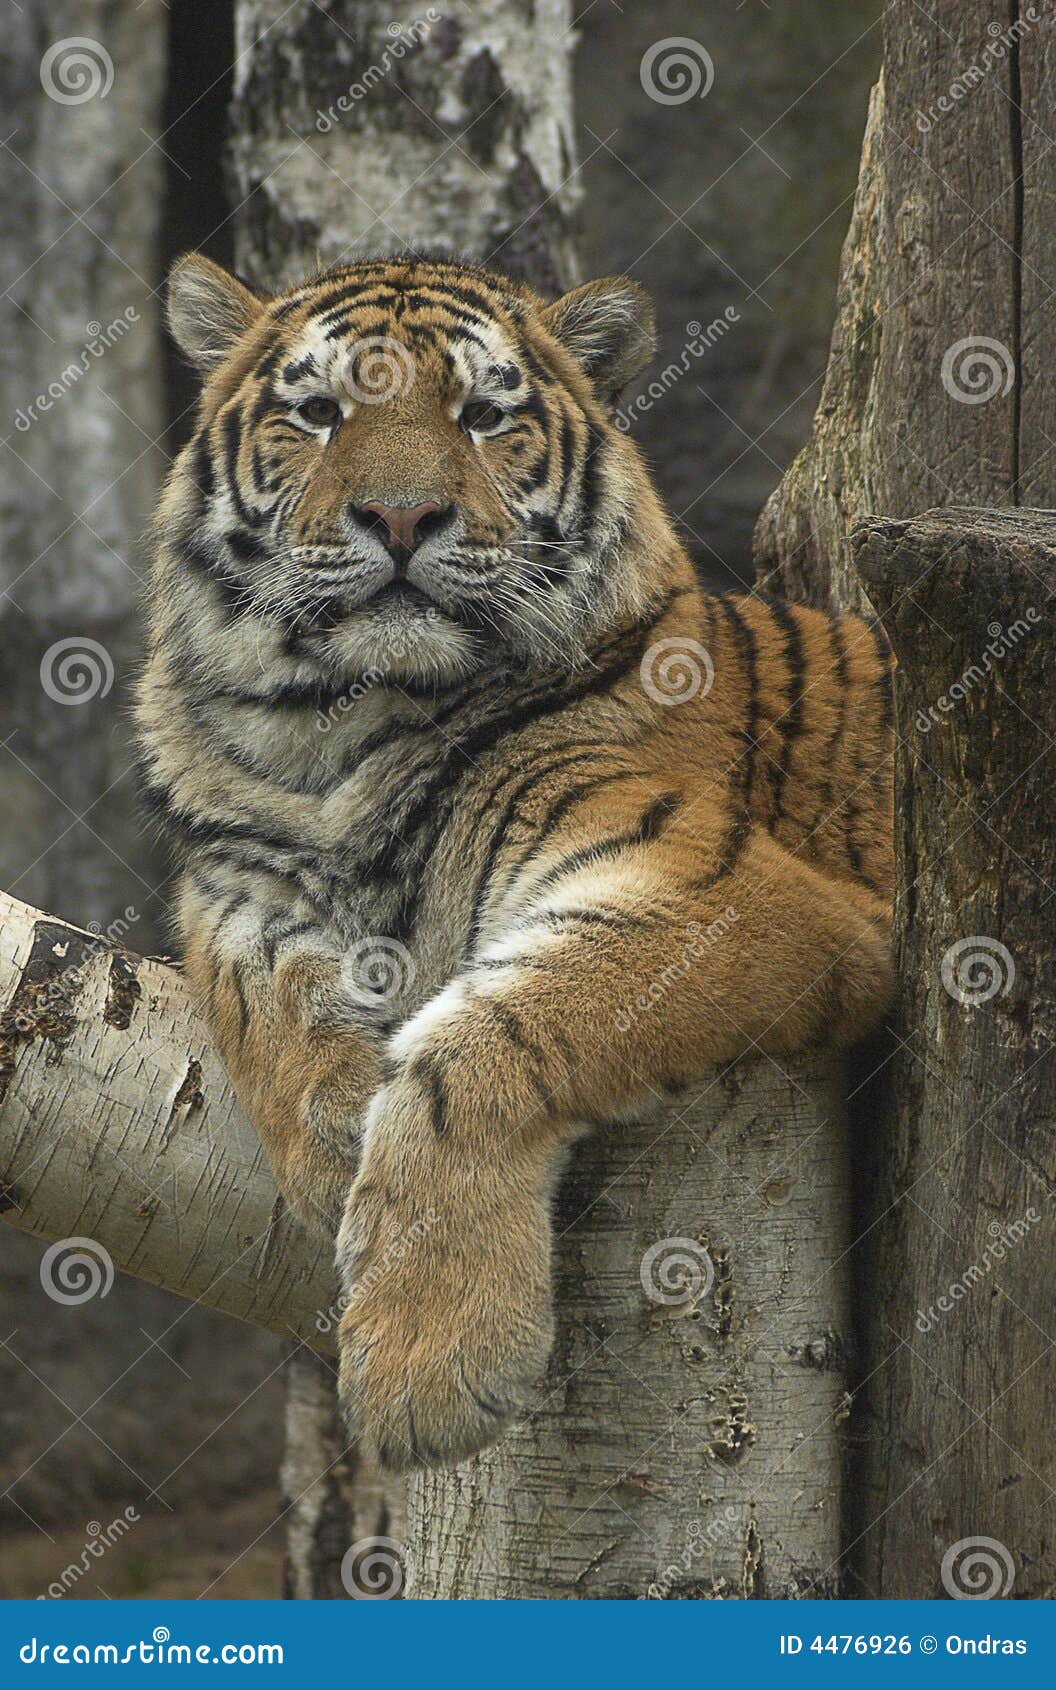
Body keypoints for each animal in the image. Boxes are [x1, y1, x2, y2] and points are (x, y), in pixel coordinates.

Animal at [135, 251, 894, 1473]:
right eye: (320, 412)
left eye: (483, 417)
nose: (401, 515)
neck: (343, 727)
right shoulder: (235, 873)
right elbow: (264, 992)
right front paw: (333, 1134)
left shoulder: (719, 882)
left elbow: (478, 1049)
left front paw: (429, 1366)